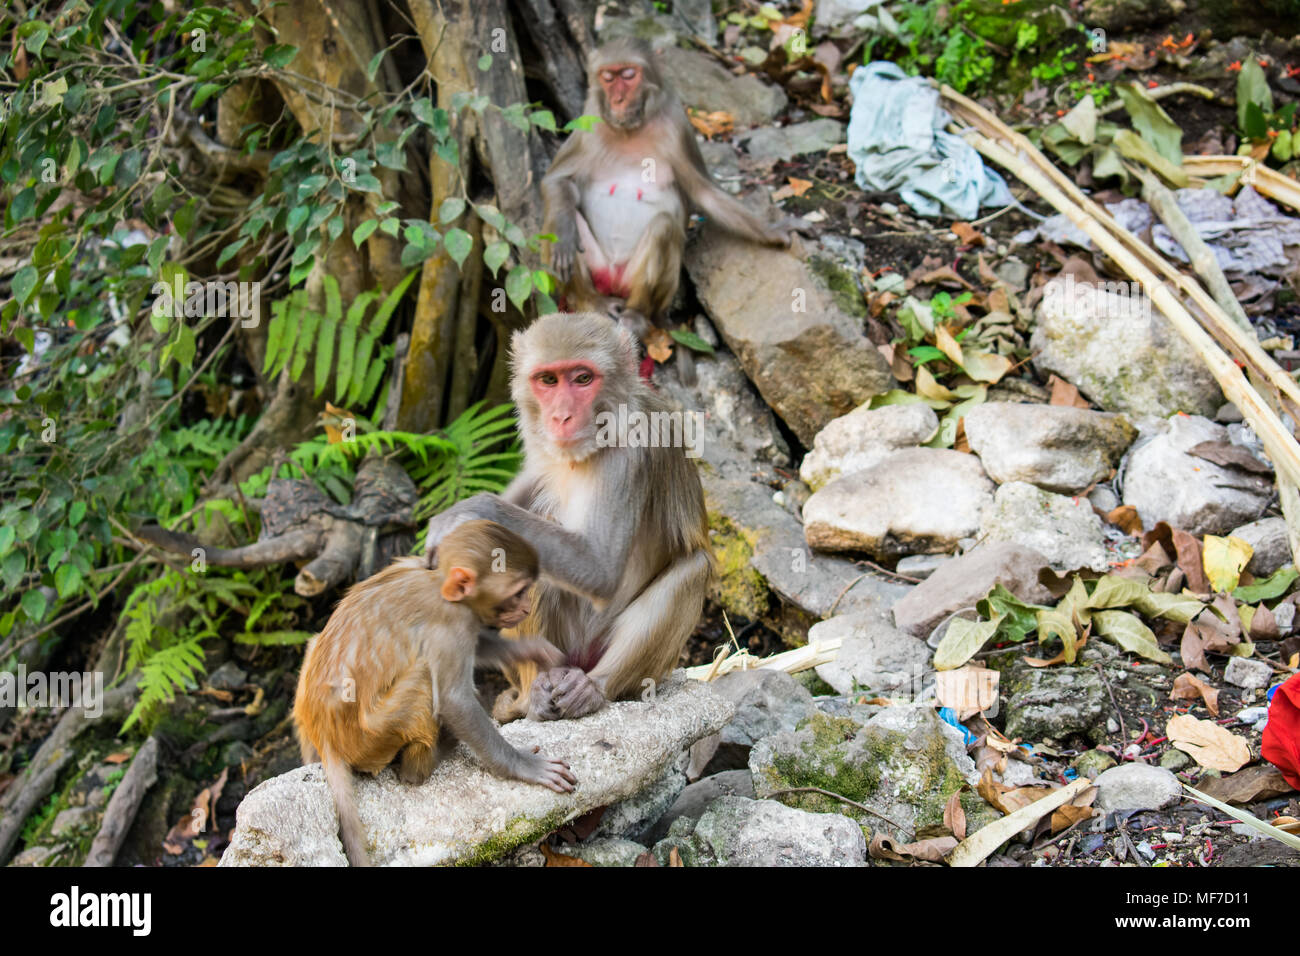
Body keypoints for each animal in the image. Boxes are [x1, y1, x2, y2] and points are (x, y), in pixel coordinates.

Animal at [294, 520, 577, 866]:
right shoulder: (451, 623)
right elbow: (455, 702)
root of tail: (325, 736)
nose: (525, 607)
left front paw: (531, 650)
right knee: (424, 679)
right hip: (370, 737)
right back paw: (424, 764)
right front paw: (525, 767)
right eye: (519, 591)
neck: (437, 580)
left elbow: (481, 645)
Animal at [423, 312, 714, 724]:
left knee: (694, 566)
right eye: (548, 380)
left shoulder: (631, 452)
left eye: (582, 378)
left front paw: (471, 510)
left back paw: (593, 688)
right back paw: (534, 693)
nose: (561, 416)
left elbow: (599, 569)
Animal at [541, 37, 801, 383]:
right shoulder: (588, 124)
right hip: (601, 273)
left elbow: (704, 193)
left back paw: (636, 315)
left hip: (644, 288)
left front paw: (774, 231)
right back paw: (591, 300)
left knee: (663, 227)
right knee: (558, 220)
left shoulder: (678, 127)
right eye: (608, 77)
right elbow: (557, 181)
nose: (619, 99)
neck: (630, 129)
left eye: (628, 74)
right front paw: (565, 235)